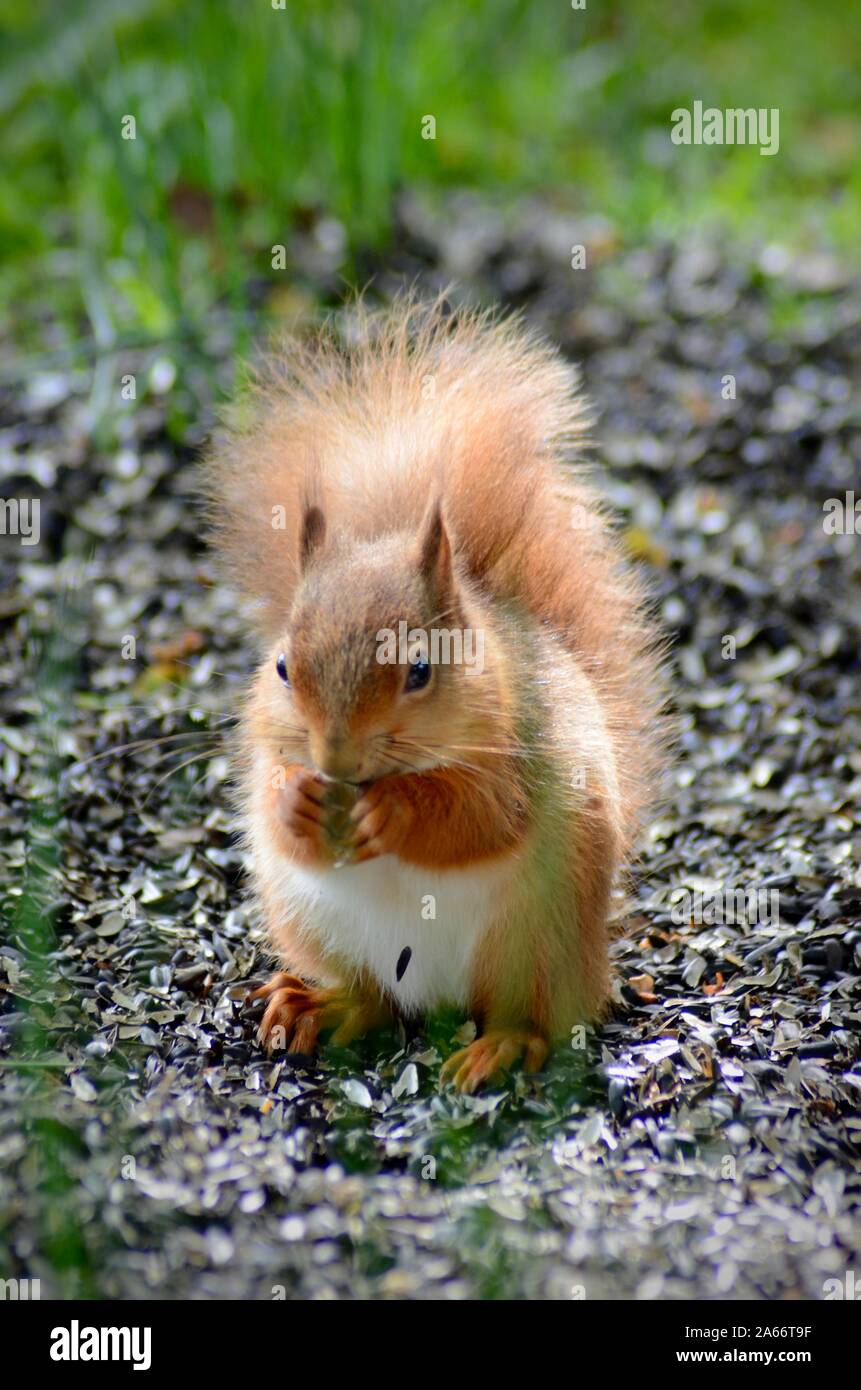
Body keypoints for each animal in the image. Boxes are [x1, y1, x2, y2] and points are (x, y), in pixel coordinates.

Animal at [202, 294, 669, 1092]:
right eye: (283, 668)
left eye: (420, 670)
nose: (336, 760)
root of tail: (434, 993)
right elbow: (270, 805)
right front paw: (297, 799)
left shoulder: (522, 755)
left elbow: (479, 818)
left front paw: (395, 811)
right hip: (307, 919)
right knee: (372, 999)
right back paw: (317, 1006)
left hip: (535, 938)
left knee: (527, 1012)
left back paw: (500, 1047)